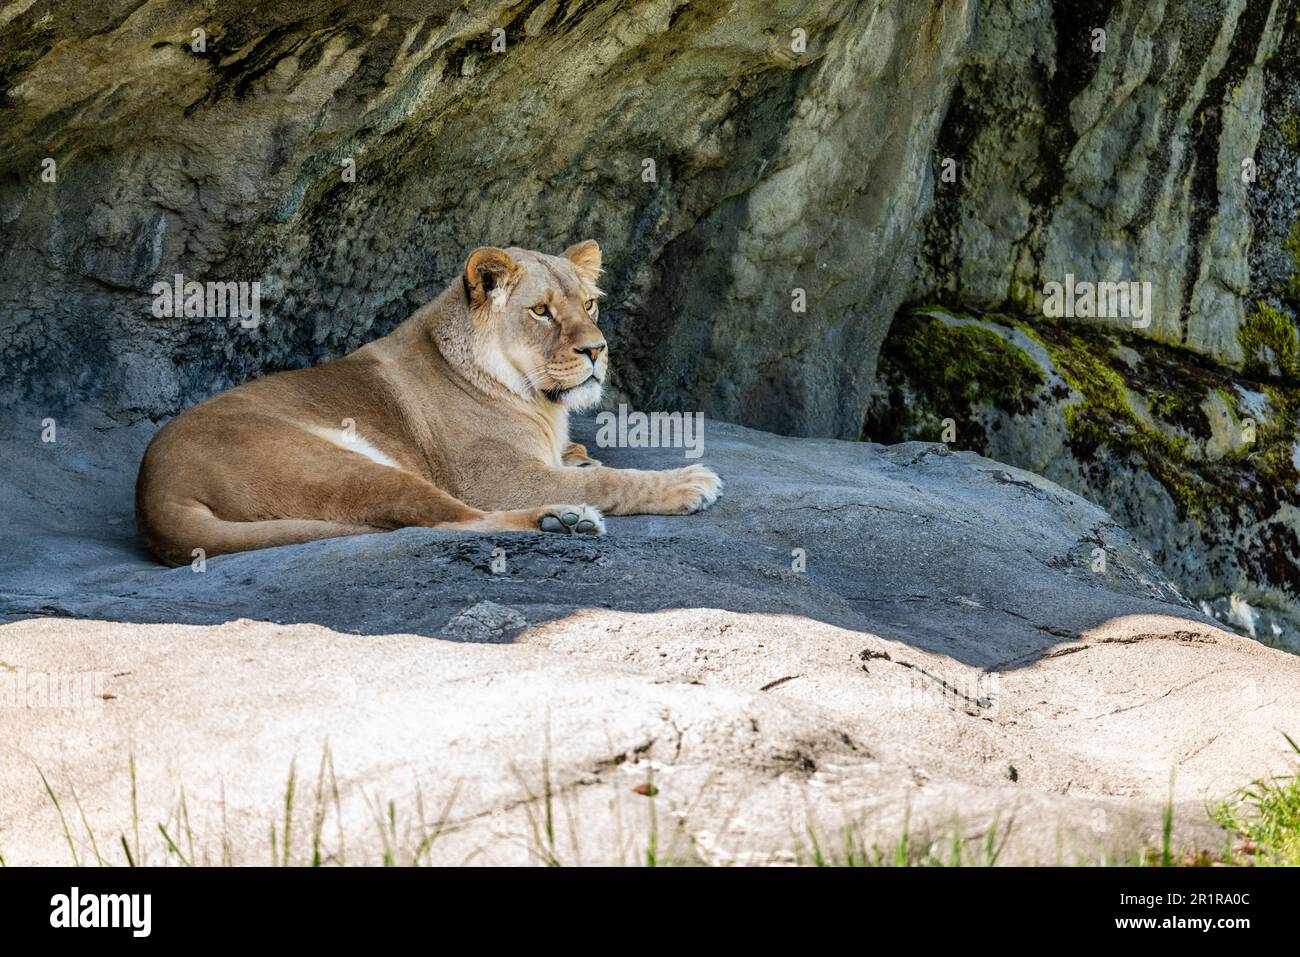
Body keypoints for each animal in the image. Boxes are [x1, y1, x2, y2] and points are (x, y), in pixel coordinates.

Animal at [135, 241, 721, 566]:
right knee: (443, 522)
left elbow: (583, 465)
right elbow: (609, 481)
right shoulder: (494, 478)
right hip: (345, 465)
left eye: (590, 304)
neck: (540, 401)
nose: (597, 349)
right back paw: (561, 521)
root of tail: (153, 495)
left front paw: (578, 456)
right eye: (541, 311)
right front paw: (686, 483)